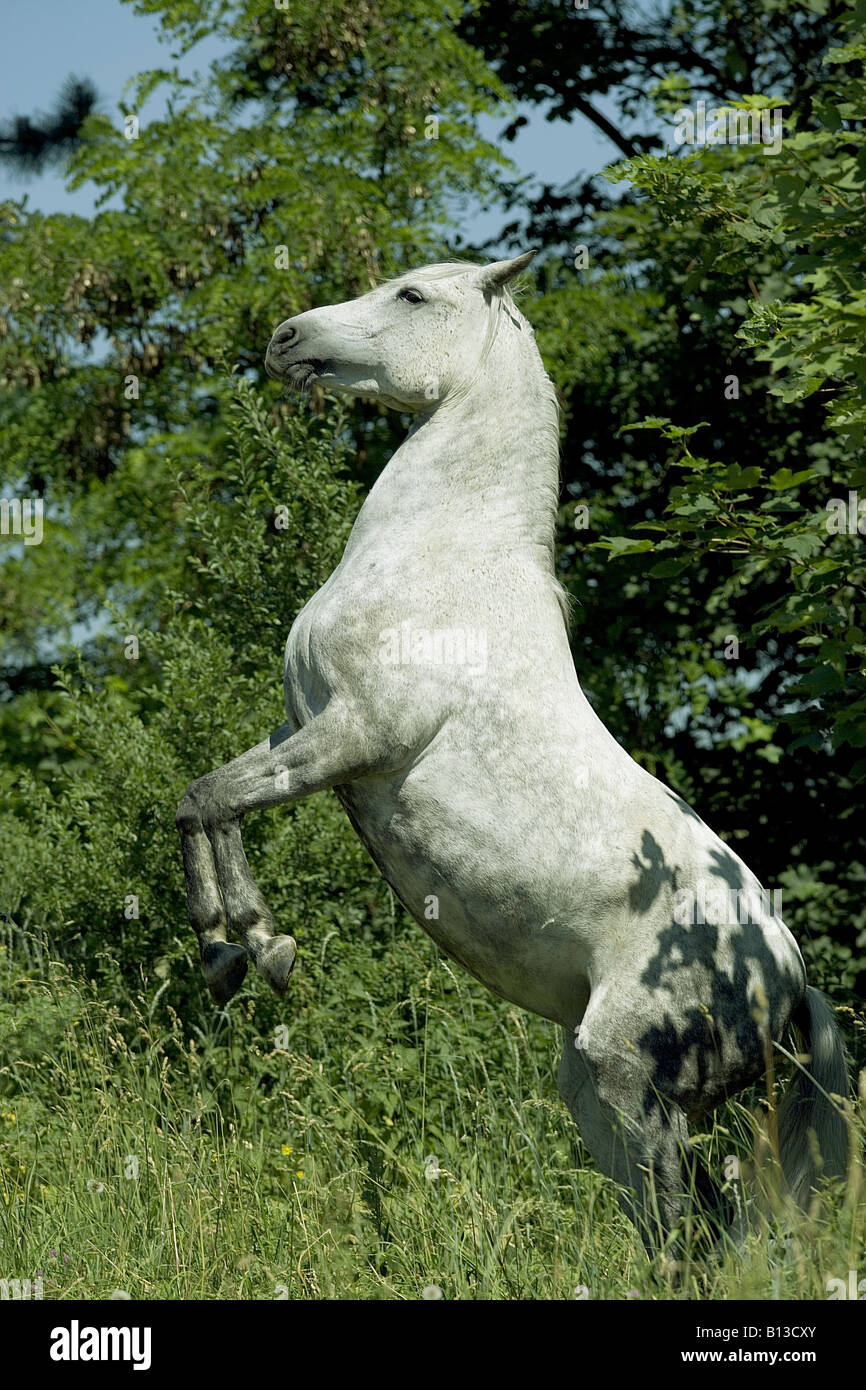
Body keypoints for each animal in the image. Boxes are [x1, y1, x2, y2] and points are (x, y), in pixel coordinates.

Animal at [176, 251, 849, 1251]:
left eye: (414, 296)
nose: (287, 339)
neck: (445, 562)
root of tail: (790, 983)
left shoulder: (356, 737)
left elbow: (217, 799)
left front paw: (252, 945)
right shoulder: (302, 731)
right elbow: (206, 798)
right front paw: (235, 951)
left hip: (633, 1084)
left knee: (689, 1231)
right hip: (595, 1099)